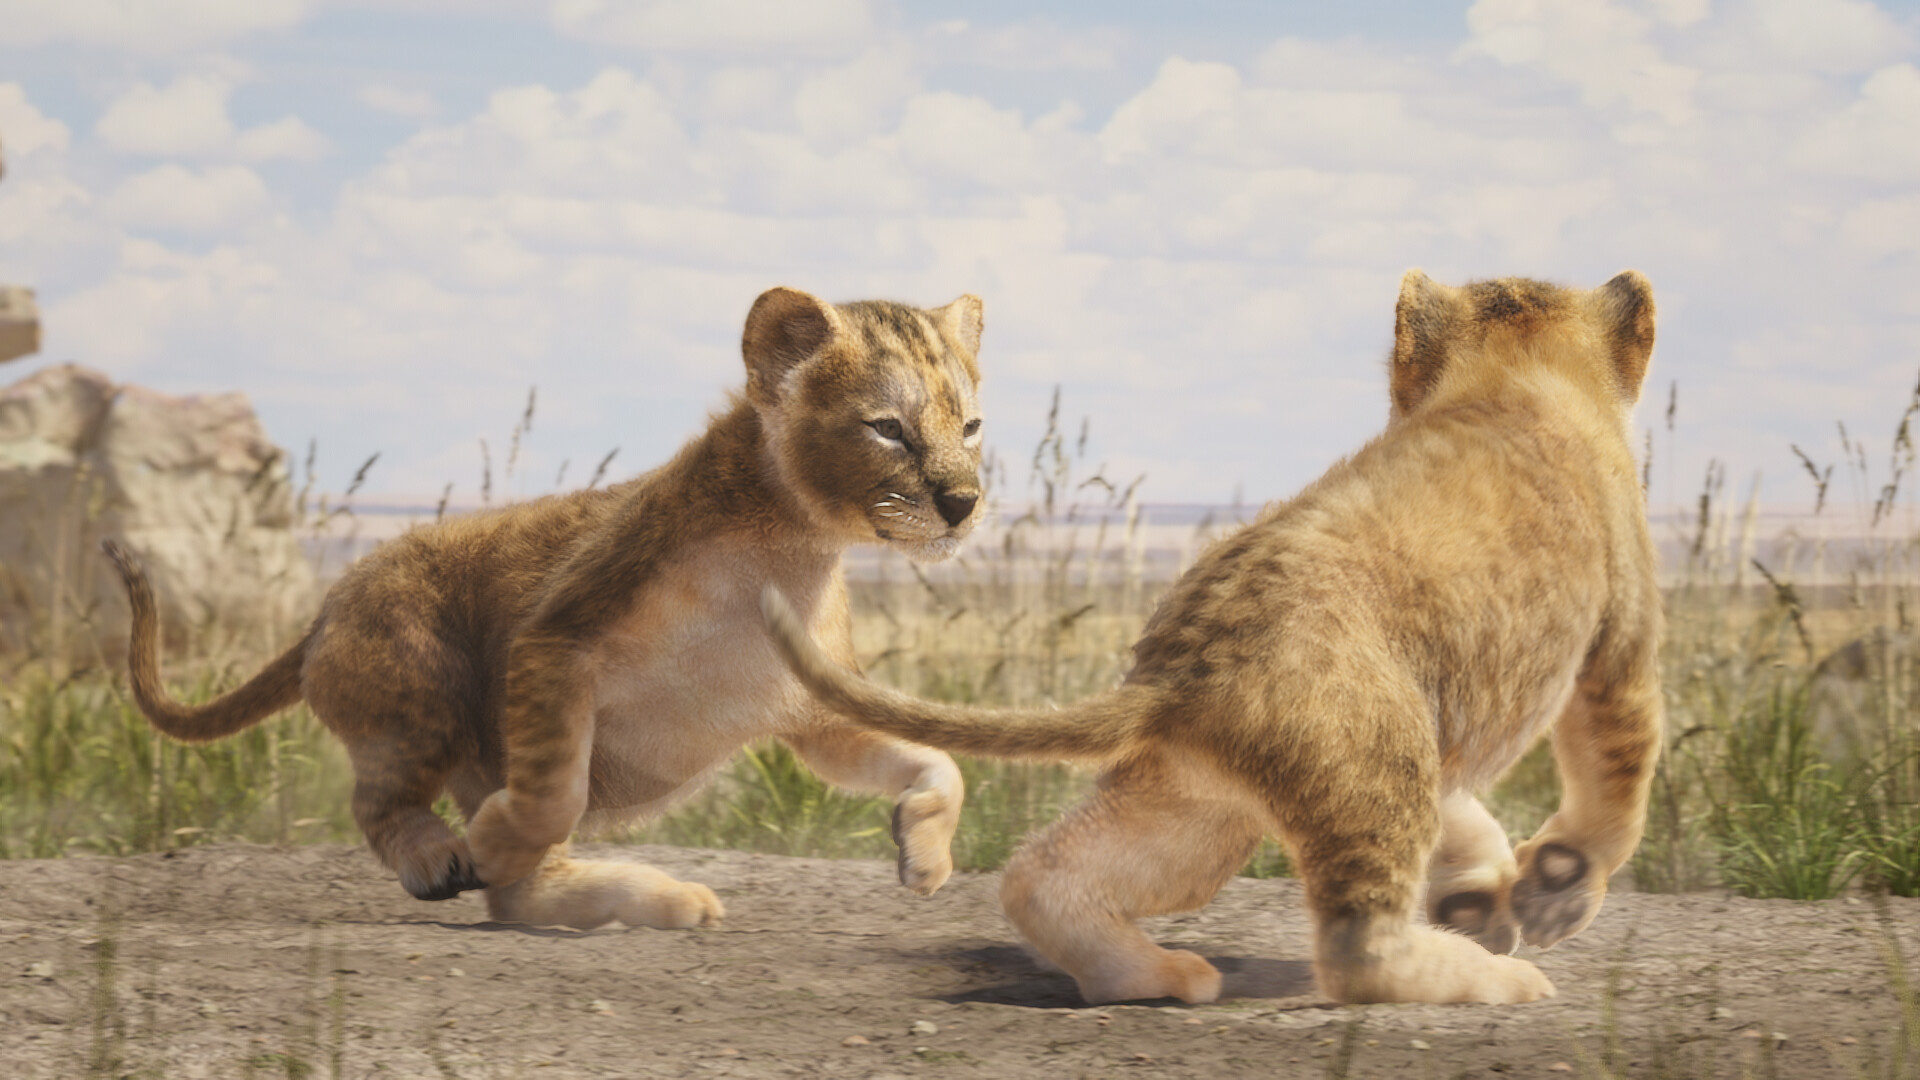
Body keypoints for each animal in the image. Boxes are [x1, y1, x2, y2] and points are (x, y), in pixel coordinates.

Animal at [105, 286, 987, 931]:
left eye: (972, 425)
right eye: (887, 428)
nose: (964, 502)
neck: (793, 545)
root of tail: (328, 602)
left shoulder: (816, 714)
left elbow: (938, 762)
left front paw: (924, 854)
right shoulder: (556, 641)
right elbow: (555, 789)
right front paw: (493, 837)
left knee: (516, 898)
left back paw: (659, 902)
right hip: (421, 685)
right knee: (384, 804)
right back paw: (444, 858)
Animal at [762, 271, 1664, 1005]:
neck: (1514, 372)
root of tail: (1188, 665)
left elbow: (1468, 804)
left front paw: (1481, 889)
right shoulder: (1618, 631)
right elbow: (1618, 775)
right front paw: (1557, 884)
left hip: (1201, 809)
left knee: (1042, 875)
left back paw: (1154, 978)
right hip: (1370, 761)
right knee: (1359, 952)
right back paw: (1496, 979)